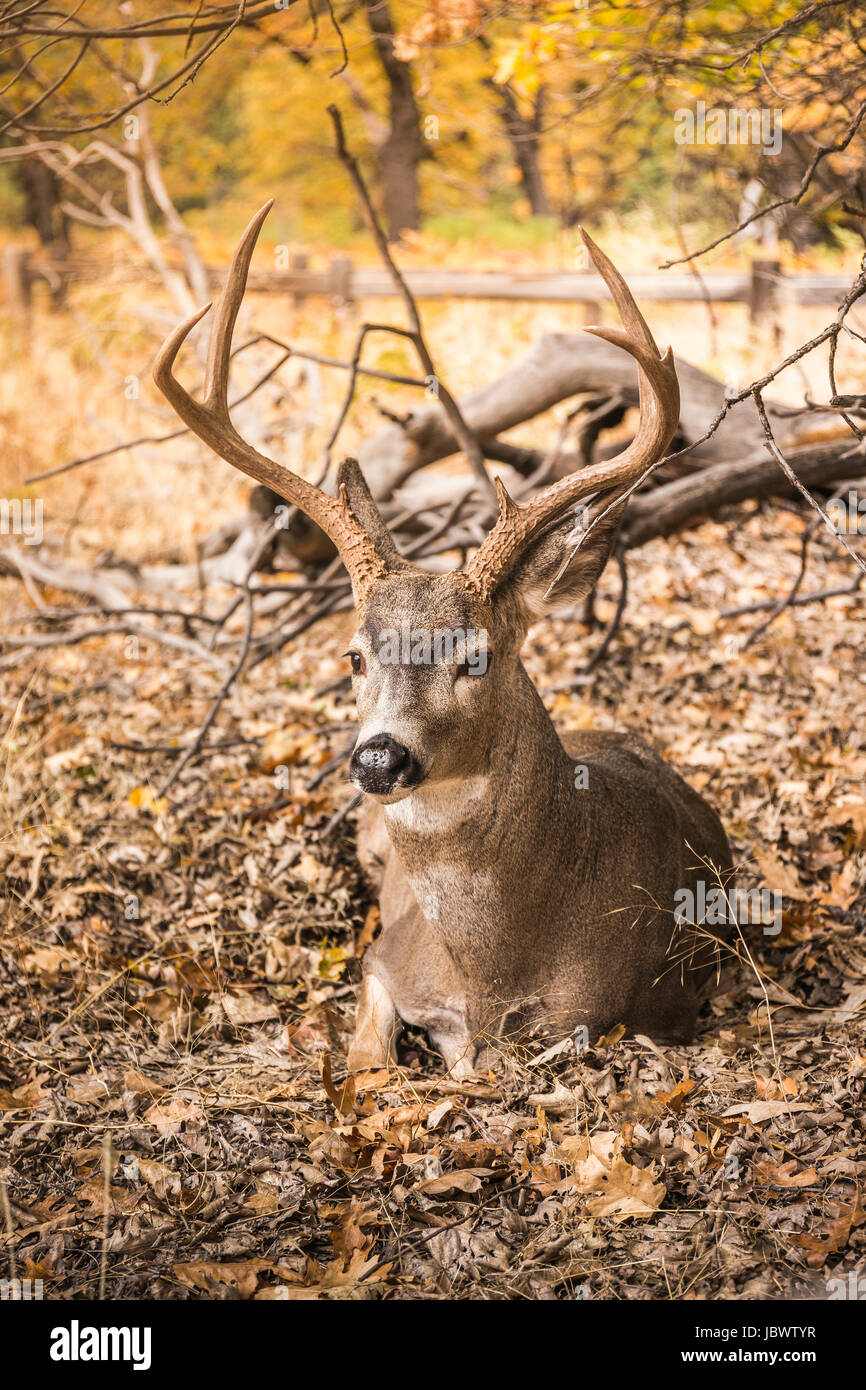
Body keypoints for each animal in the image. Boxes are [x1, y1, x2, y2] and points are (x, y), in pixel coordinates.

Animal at [154, 201, 733, 1077]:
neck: (492, 976)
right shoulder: (384, 959)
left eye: (475, 657)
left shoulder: (634, 1014)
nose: (379, 758)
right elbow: (371, 1055)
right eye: (354, 654)